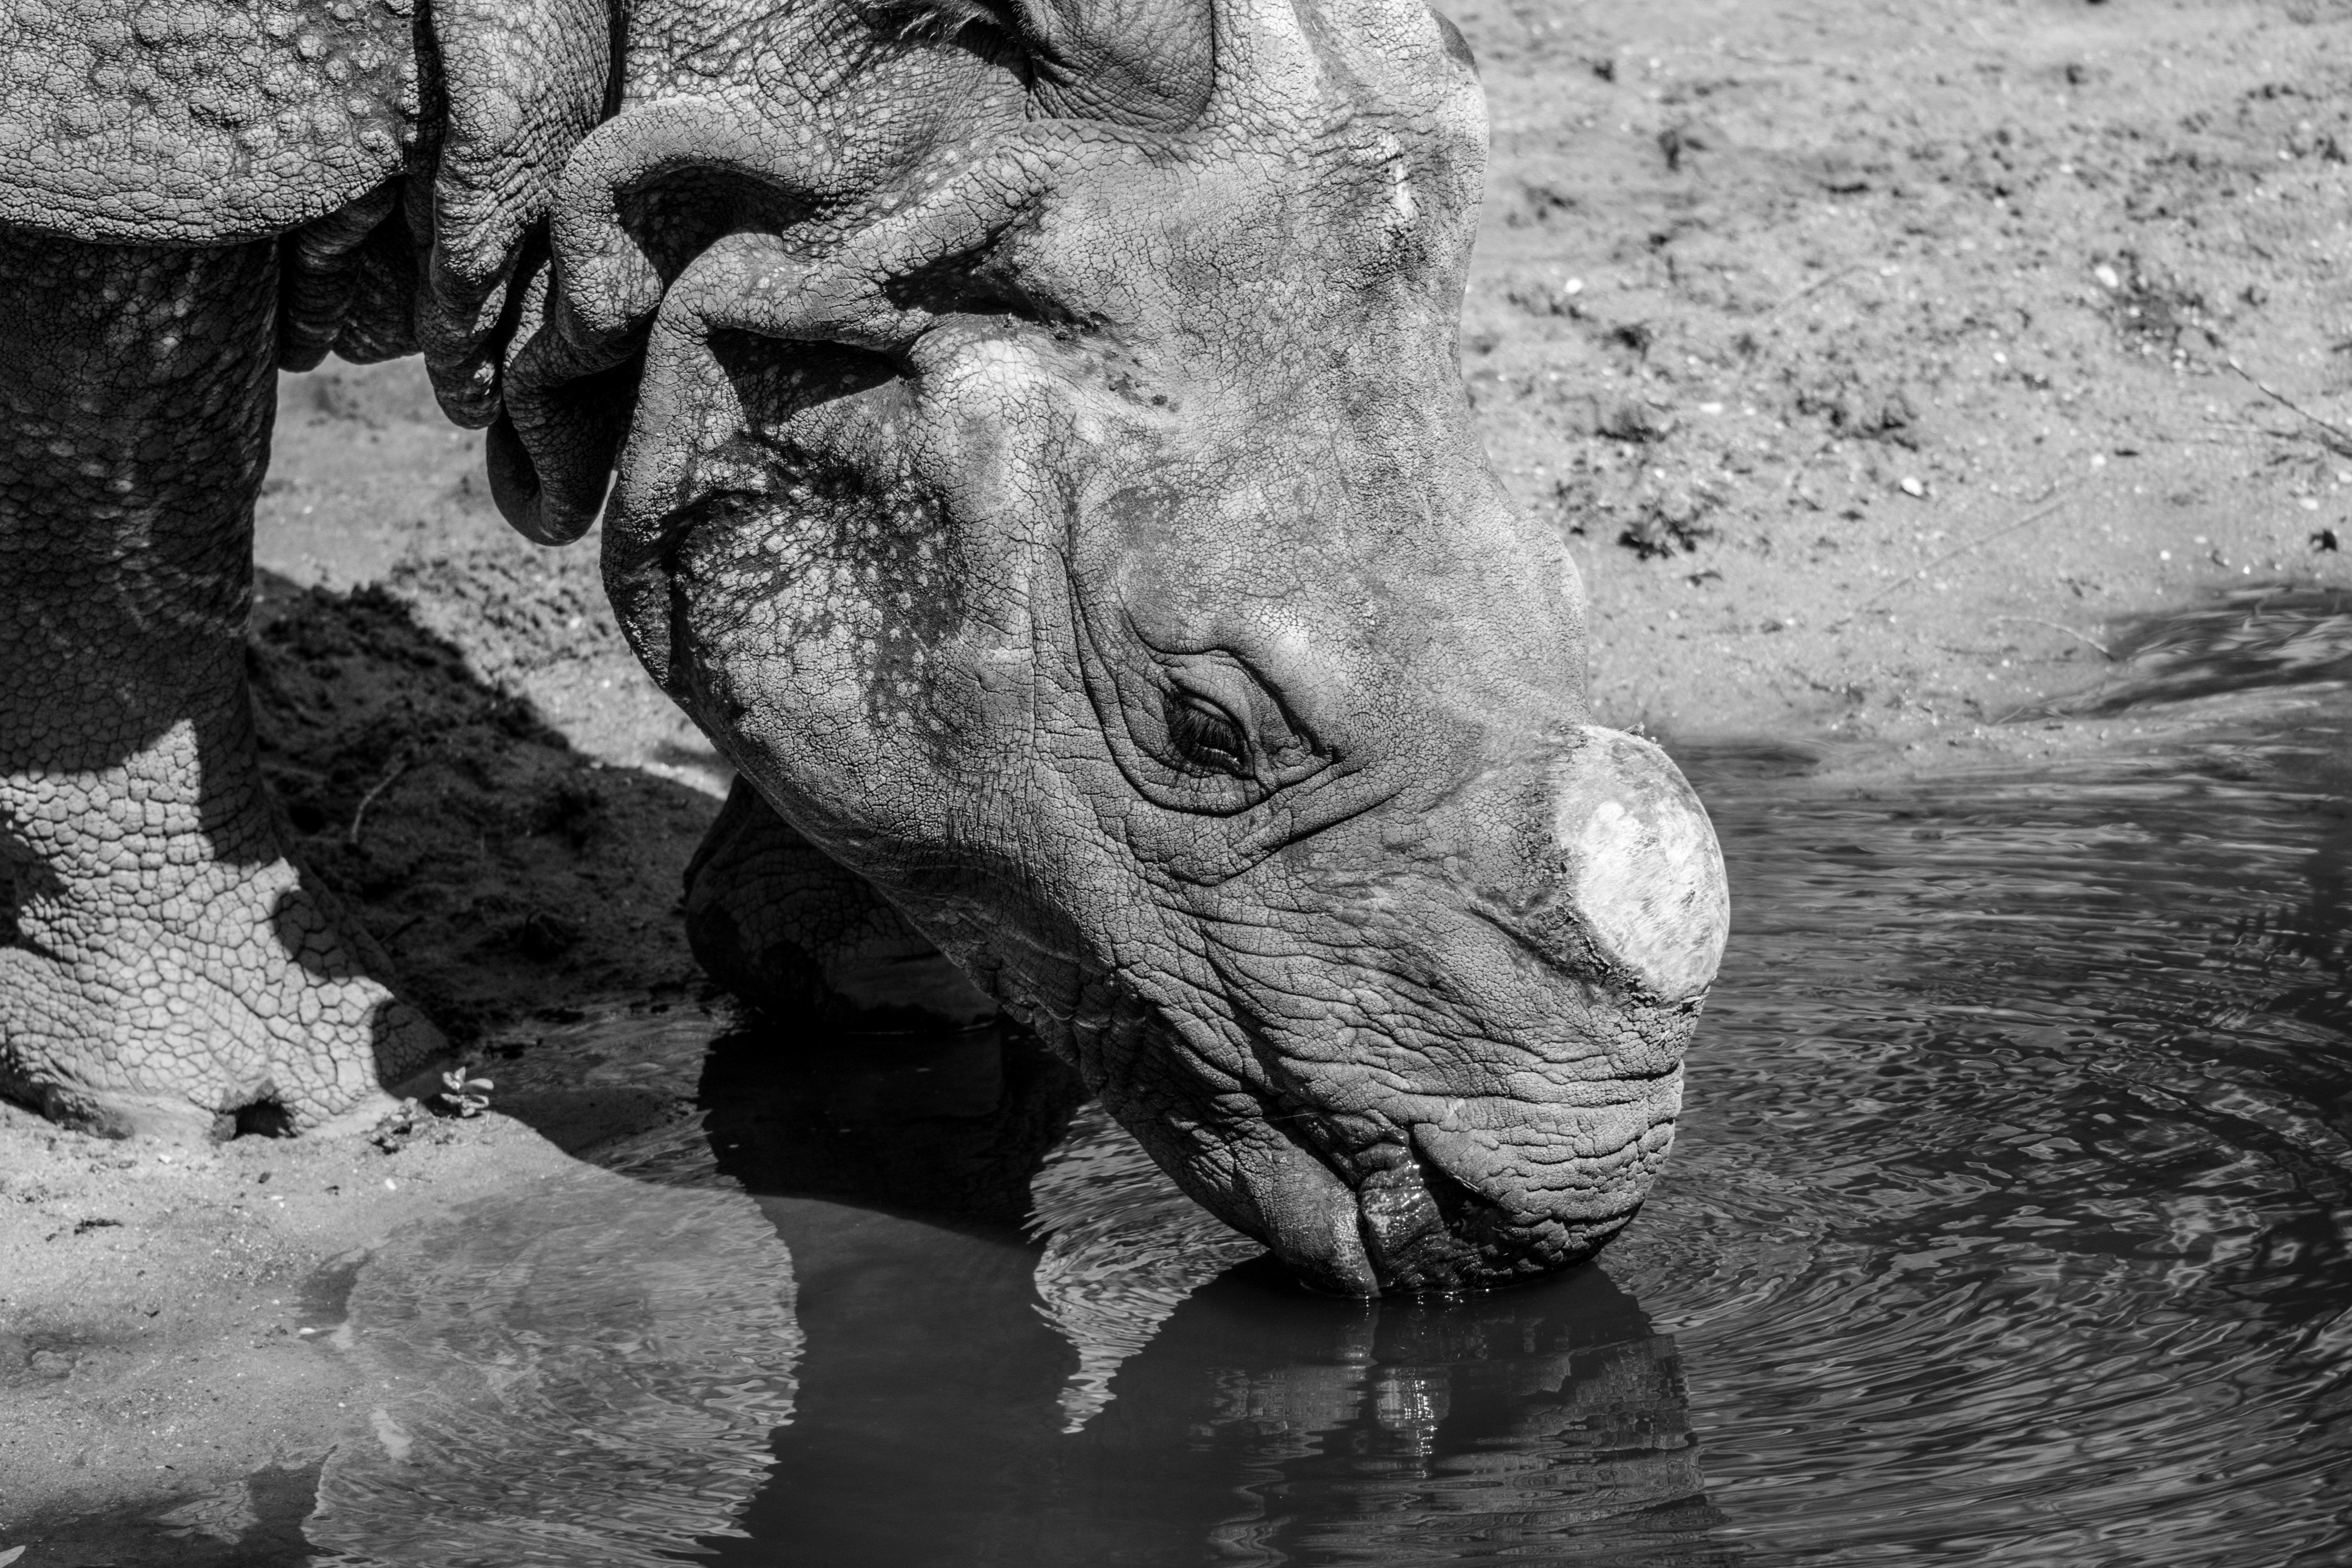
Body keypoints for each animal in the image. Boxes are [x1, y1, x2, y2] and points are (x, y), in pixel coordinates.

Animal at [0, 0, 1727, 1292]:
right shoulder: (101, 140)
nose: (1548, 1222)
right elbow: (119, 535)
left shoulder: (850, 236)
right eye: (1206, 730)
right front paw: (262, 1106)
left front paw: (873, 979)